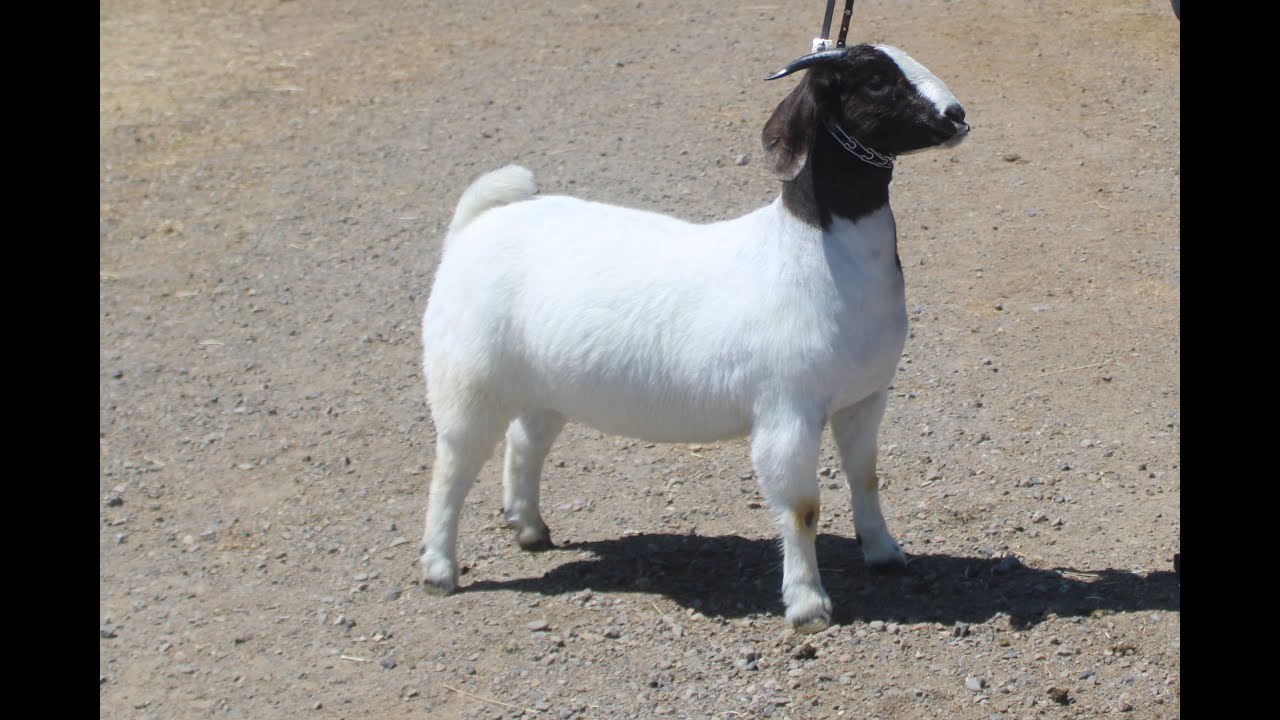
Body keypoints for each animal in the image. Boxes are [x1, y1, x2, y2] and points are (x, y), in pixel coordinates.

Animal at [419, 44, 968, 632]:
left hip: (546, 386)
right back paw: (439, 569)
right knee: (451, 468)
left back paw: (528, 528)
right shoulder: (787, 410)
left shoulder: (864, 398)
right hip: (469, 380)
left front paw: (885, 553)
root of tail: (477, 225)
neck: (814, 249)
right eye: (875, 80)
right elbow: (802, 507)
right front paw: (807, 605)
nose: (957, 115)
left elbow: (865, 477)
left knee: (525, 443)